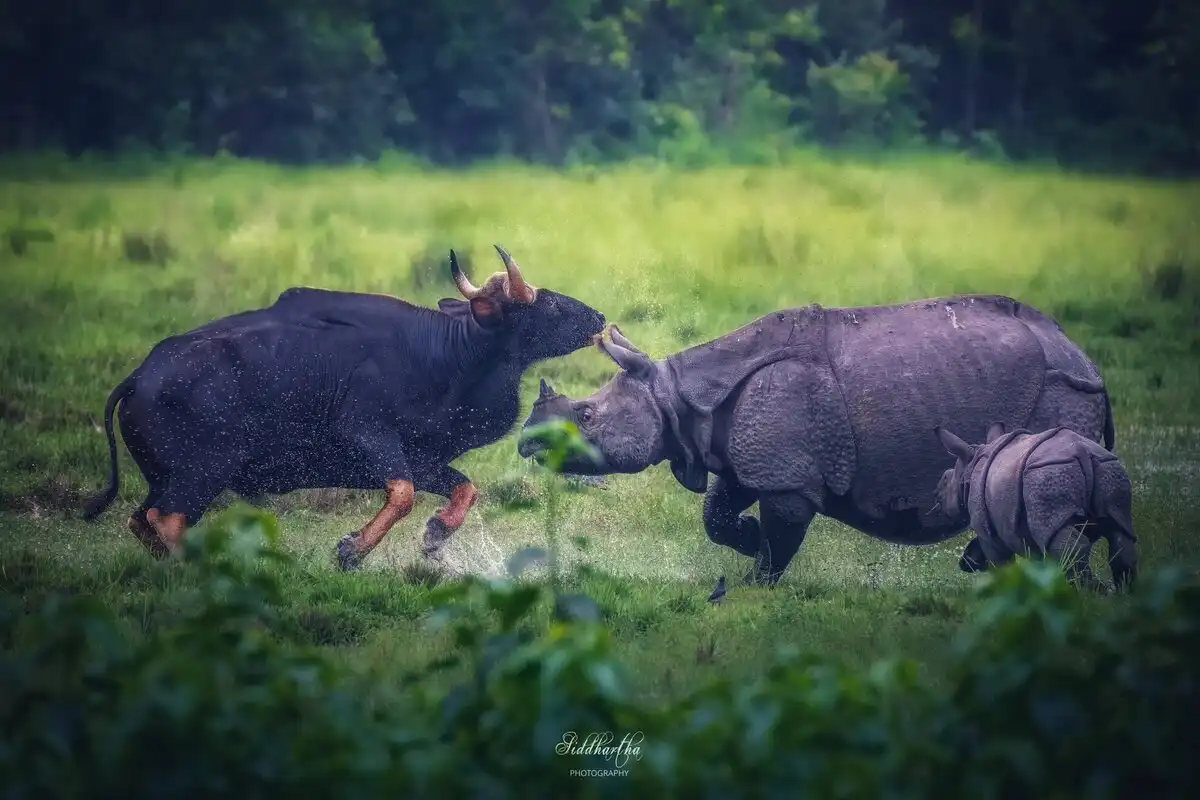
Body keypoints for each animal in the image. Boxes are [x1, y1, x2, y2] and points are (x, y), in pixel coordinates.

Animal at [517, 295, 1115, 586]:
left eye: (587, 415)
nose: (526, 445)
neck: (678, 395)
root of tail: (1082, 353)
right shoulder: (739, 454)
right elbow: (717, 515)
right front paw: (748, 541)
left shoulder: (787, 478)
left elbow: (782, 532)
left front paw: (758, 579)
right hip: (1060, 383)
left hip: (1060, 387)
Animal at [932, 422, 1138, 591]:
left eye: (945, 479)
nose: (936, 496)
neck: (968, 467)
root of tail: (1082, 451)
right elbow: (1039, 561)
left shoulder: (987, 532)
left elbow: (1000, 563)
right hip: (1106, 468)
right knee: (1120, 533)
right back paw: (1123, 594)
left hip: (1047, 473)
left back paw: (1088, 591)